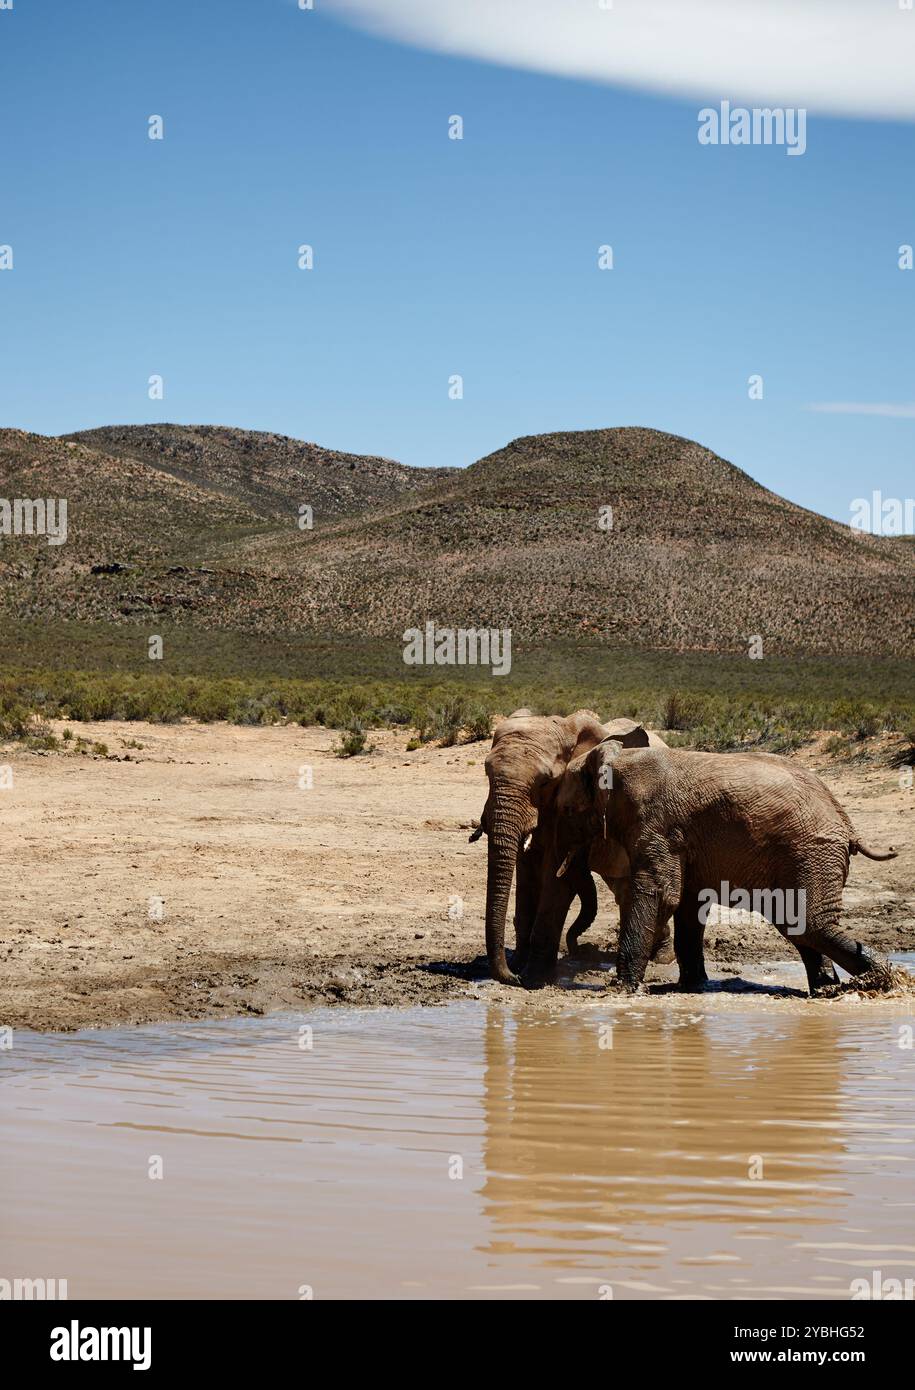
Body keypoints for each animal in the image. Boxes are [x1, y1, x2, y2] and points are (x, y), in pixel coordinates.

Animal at [478, 708, 668, 983]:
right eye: (487, 772)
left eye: (545, 782)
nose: (511, 976)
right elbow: (527, 873)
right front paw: (518, 966)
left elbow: (557, 880)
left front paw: (532, 978)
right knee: (623, 889)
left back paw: (662, 958)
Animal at [521, 737, 898, 995]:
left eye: (567, 811)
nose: (577, 950)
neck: (618, 759)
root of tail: (846, 821)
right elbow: (687, 905)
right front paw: (690, 987)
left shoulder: (658, 823)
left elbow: (662, 894)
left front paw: (623, 988)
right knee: (797, 923)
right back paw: (828, 989)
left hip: (812, 852)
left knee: (808, 922)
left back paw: (877, 978)